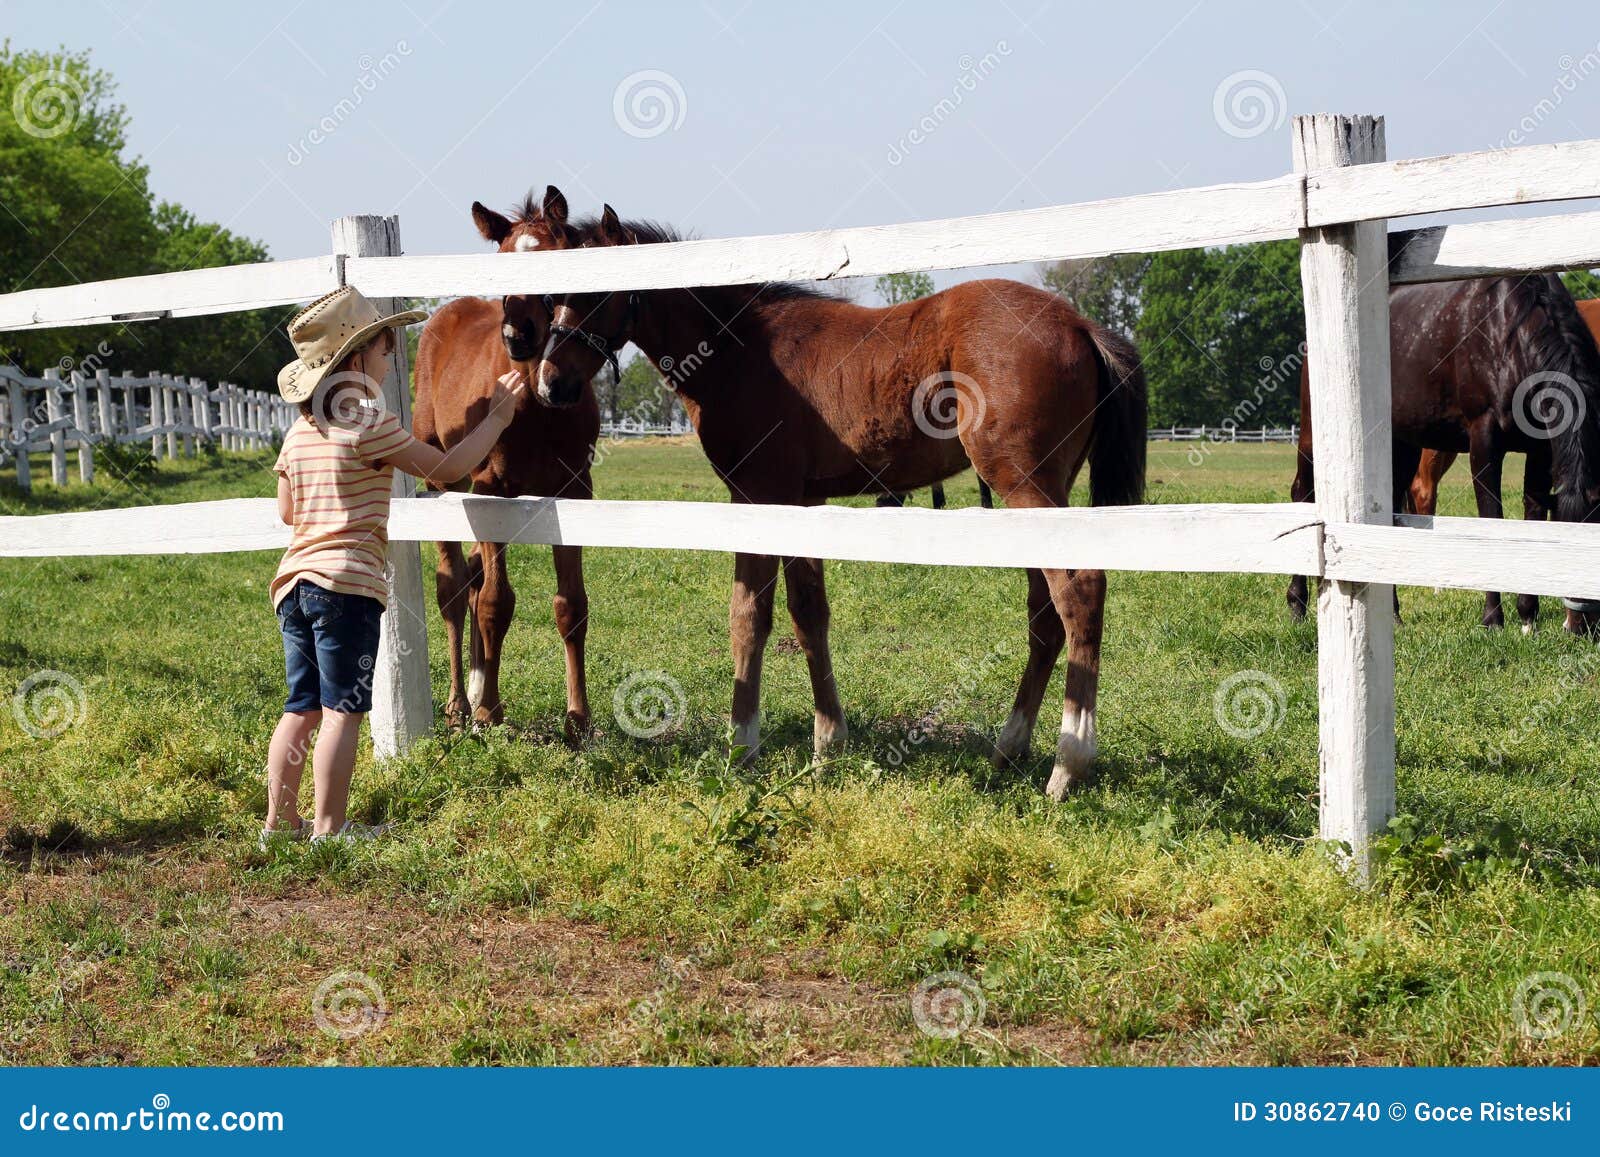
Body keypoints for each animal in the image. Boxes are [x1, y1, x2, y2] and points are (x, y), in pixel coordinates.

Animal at [411, 187, 600, 739]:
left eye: (555, 258)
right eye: (499, 267)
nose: (518, 335)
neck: (537, 403)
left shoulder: (574, 491)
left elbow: (571, 605)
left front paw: (579, 718)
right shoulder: (491, 490)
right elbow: (497, 601)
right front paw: (489, 711)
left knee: (473, 578)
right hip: (444, 482)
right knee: (455, 588)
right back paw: (459, 704)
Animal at [531, 198, 1147, 800]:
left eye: (595, 291)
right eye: (553, 296)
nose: (550, 383)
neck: (739, 352)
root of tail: (1081, 323)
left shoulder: (760, 498)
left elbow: (748, 616)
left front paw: (742, 747)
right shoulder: (803, 504)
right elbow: (809, 613)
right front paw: (828, 744)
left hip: (1025, 486)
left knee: (1079, 593)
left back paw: (1067, 766)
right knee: (1045, 616)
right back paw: (1009, 749)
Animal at [1287, 275, 1600, 633]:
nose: (1582, 626)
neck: (1512, 330)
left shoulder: (1540, 450)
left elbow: (1532, 514)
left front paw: (1527, 617)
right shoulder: (1484, 438)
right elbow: (1491, 518)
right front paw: (1493, 619)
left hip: (1403, 444)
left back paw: (1393, 614)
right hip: (1314, 434)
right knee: (1302, 493)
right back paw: (1297, 603)